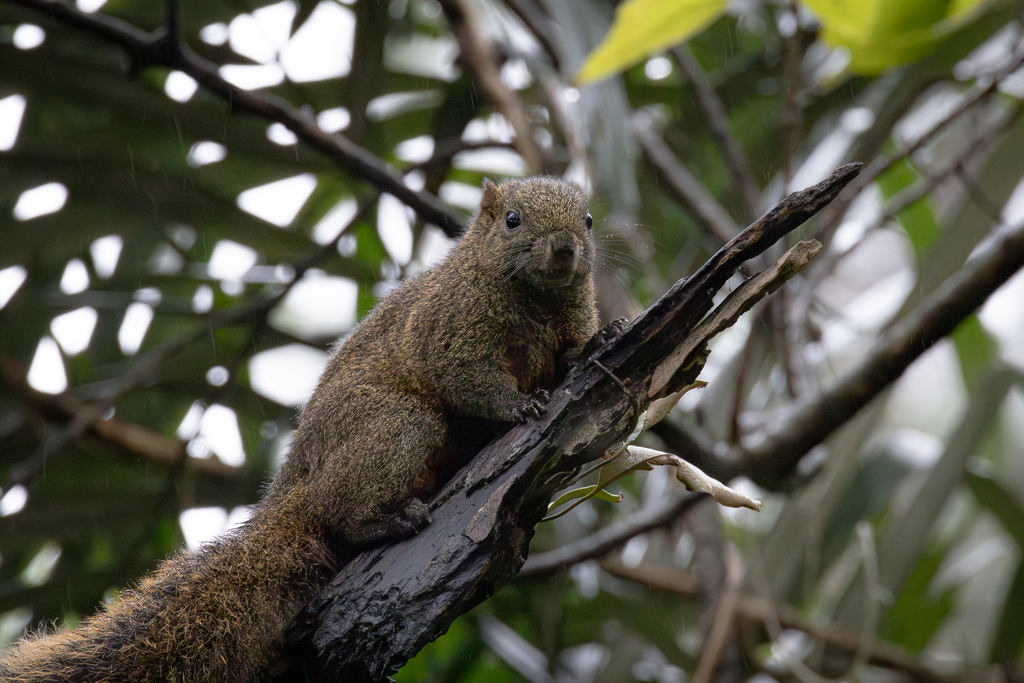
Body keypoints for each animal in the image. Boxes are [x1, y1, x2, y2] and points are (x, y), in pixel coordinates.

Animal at [0, 176, 600, 682]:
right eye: (513, 220)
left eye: (589, 220)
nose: (564, 248)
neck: (536, 301)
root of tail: (298, 486)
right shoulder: (451, 327)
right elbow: (468, 378)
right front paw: (520, 406)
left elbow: (573, 348)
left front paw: (596, 349)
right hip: (394, 425)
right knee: (344, 509)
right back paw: (384, 521)